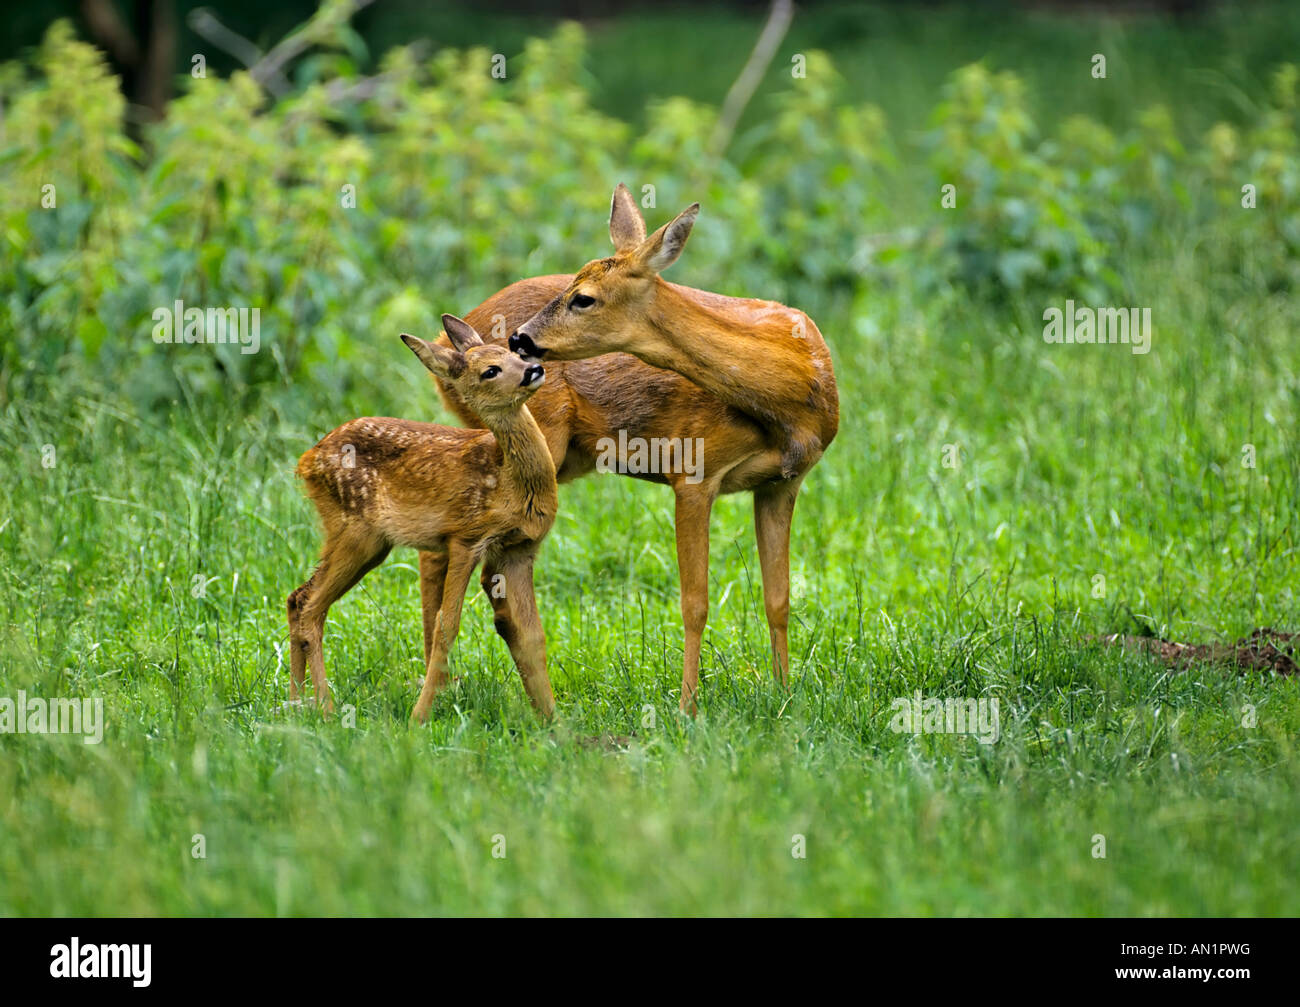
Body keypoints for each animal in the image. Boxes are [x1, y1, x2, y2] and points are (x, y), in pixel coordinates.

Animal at [287, 314, 558, 723]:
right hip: (356, 531)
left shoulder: (518, 549)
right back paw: (326, 708)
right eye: (490, 371)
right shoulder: (464, 537)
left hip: (363, 541)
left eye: (513, 353)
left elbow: (532, 635)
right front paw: (419, 717)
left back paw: (294, 703)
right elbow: (446, 625)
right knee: (311, 608)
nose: (534, 370)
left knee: (297, 597)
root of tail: (306, 461)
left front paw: (554, 720)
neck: (509, 482)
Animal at [423, 185, 838, 713]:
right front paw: (687, 707)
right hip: (533, 438)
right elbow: (695, 602)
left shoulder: (783, 482)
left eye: (583, 298)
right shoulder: (693, 469)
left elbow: (779, 598)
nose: (519, 338)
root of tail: (447, 344)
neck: (795, 388)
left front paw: (784, 694)